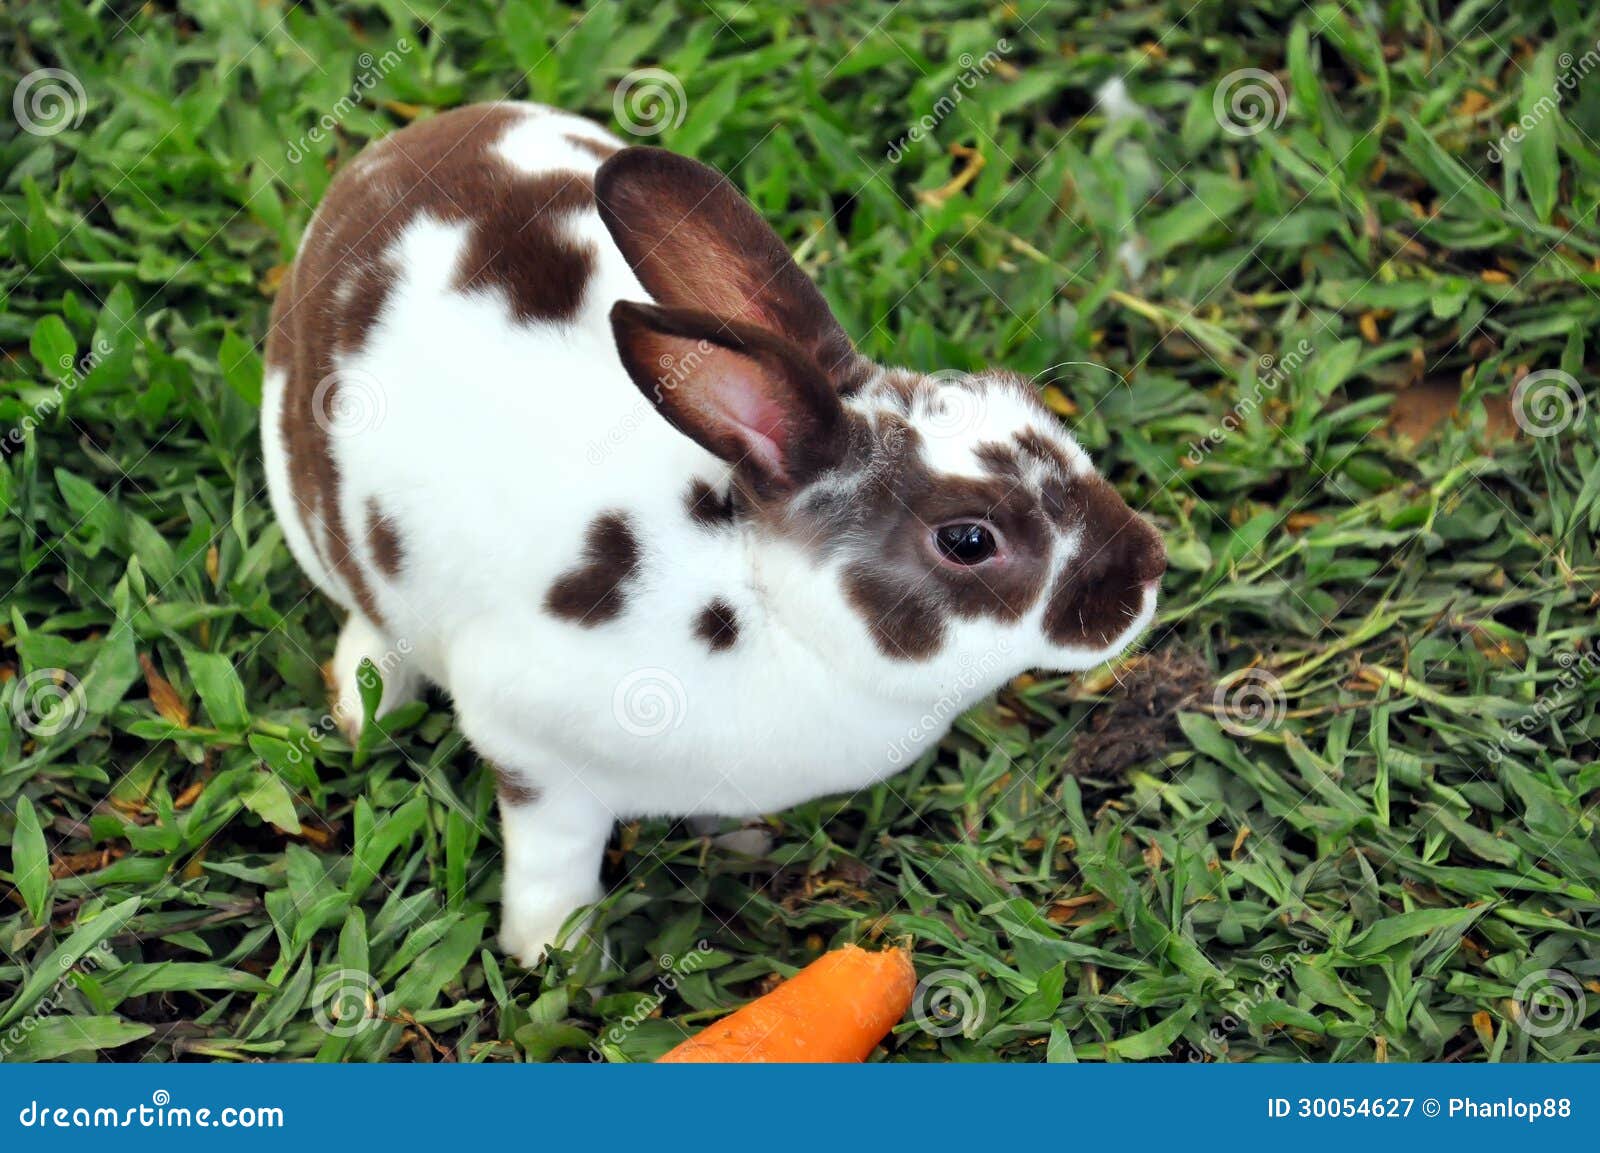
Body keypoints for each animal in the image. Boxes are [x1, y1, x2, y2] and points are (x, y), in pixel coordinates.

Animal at [262, 102, 1166, 967]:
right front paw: (557, 957)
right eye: (969, 541)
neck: (762, 604)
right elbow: (553, 865)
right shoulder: (533, 759)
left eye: (1023, 398)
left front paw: (741, 842)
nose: (1149, 569)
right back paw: (364, 705)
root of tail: (384, 161)